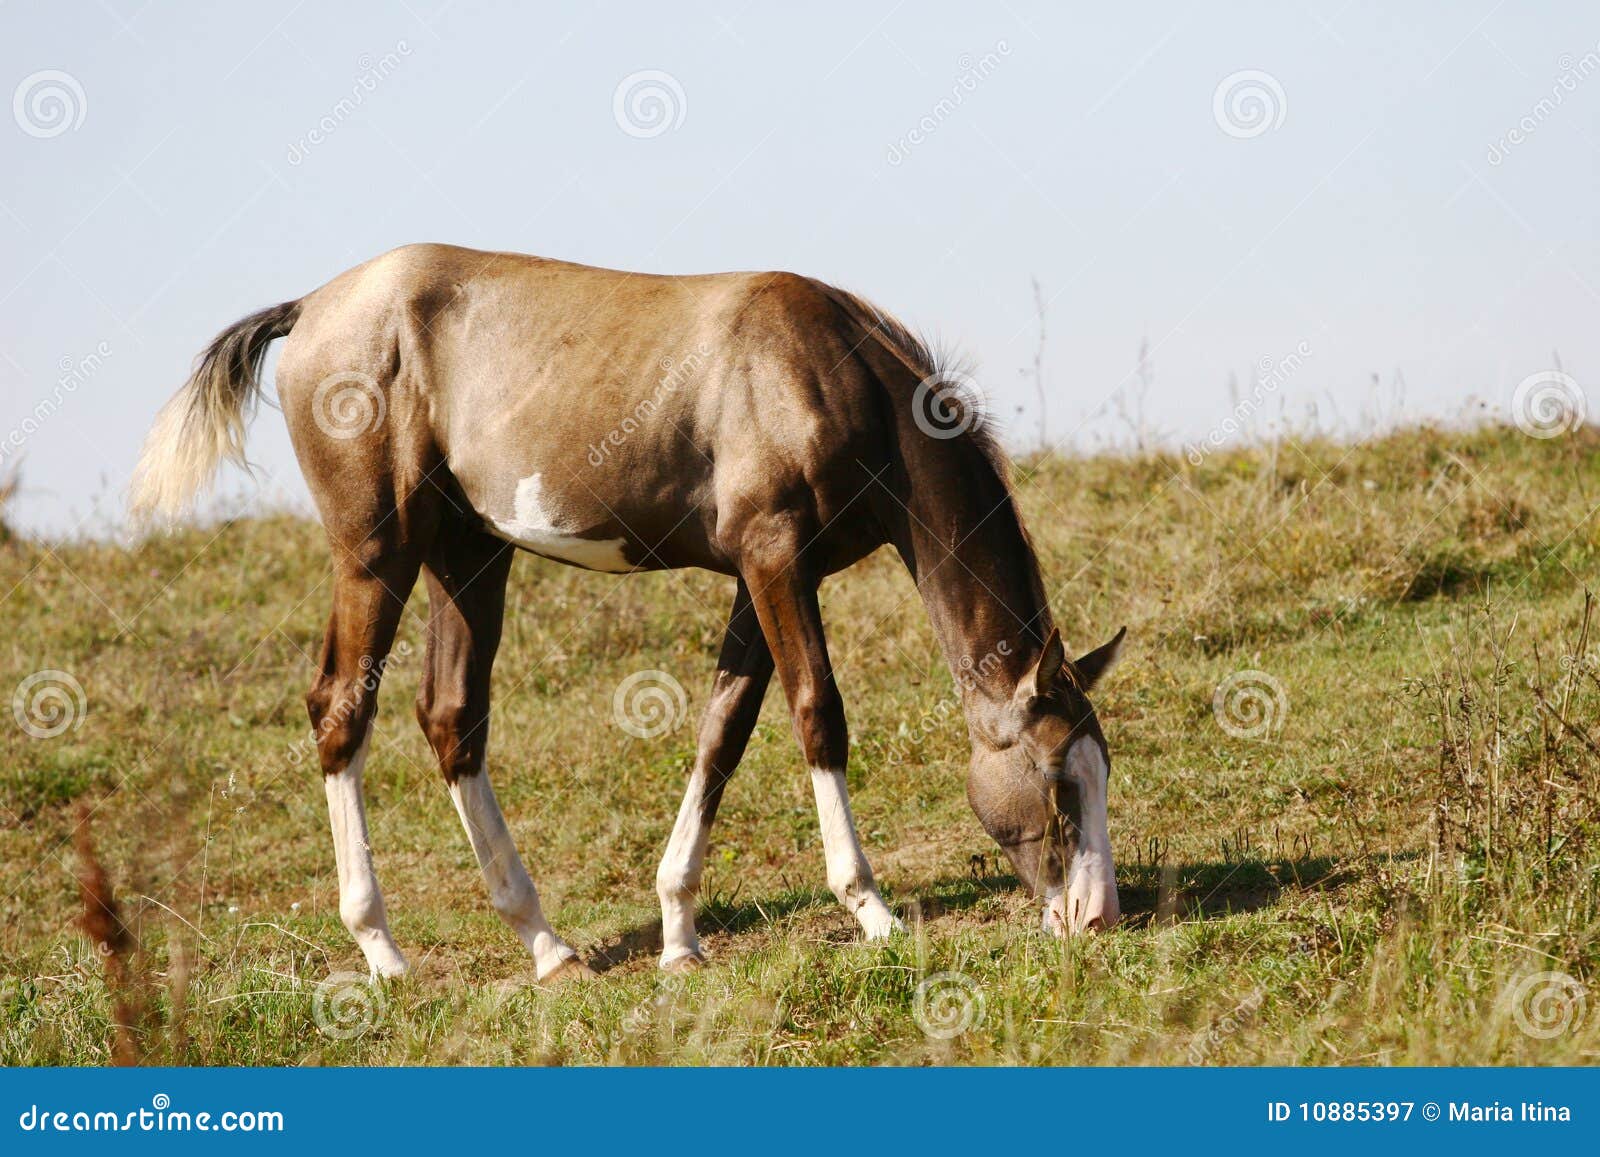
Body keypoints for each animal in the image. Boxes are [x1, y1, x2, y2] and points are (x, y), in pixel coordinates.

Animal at [131, 244, 1125, 981]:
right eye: (1058, 780)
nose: (1098, 918)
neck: (823, 368)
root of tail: (311, 307)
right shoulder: (776, 561)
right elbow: (818, 713)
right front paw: (872, 910)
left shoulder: (755, 578)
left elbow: (723, 732)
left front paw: (680, 933)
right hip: (377, 554)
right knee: (341, 708)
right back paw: (382, 948)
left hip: (469, 557)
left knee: (452, 718)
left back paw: (546, 944)